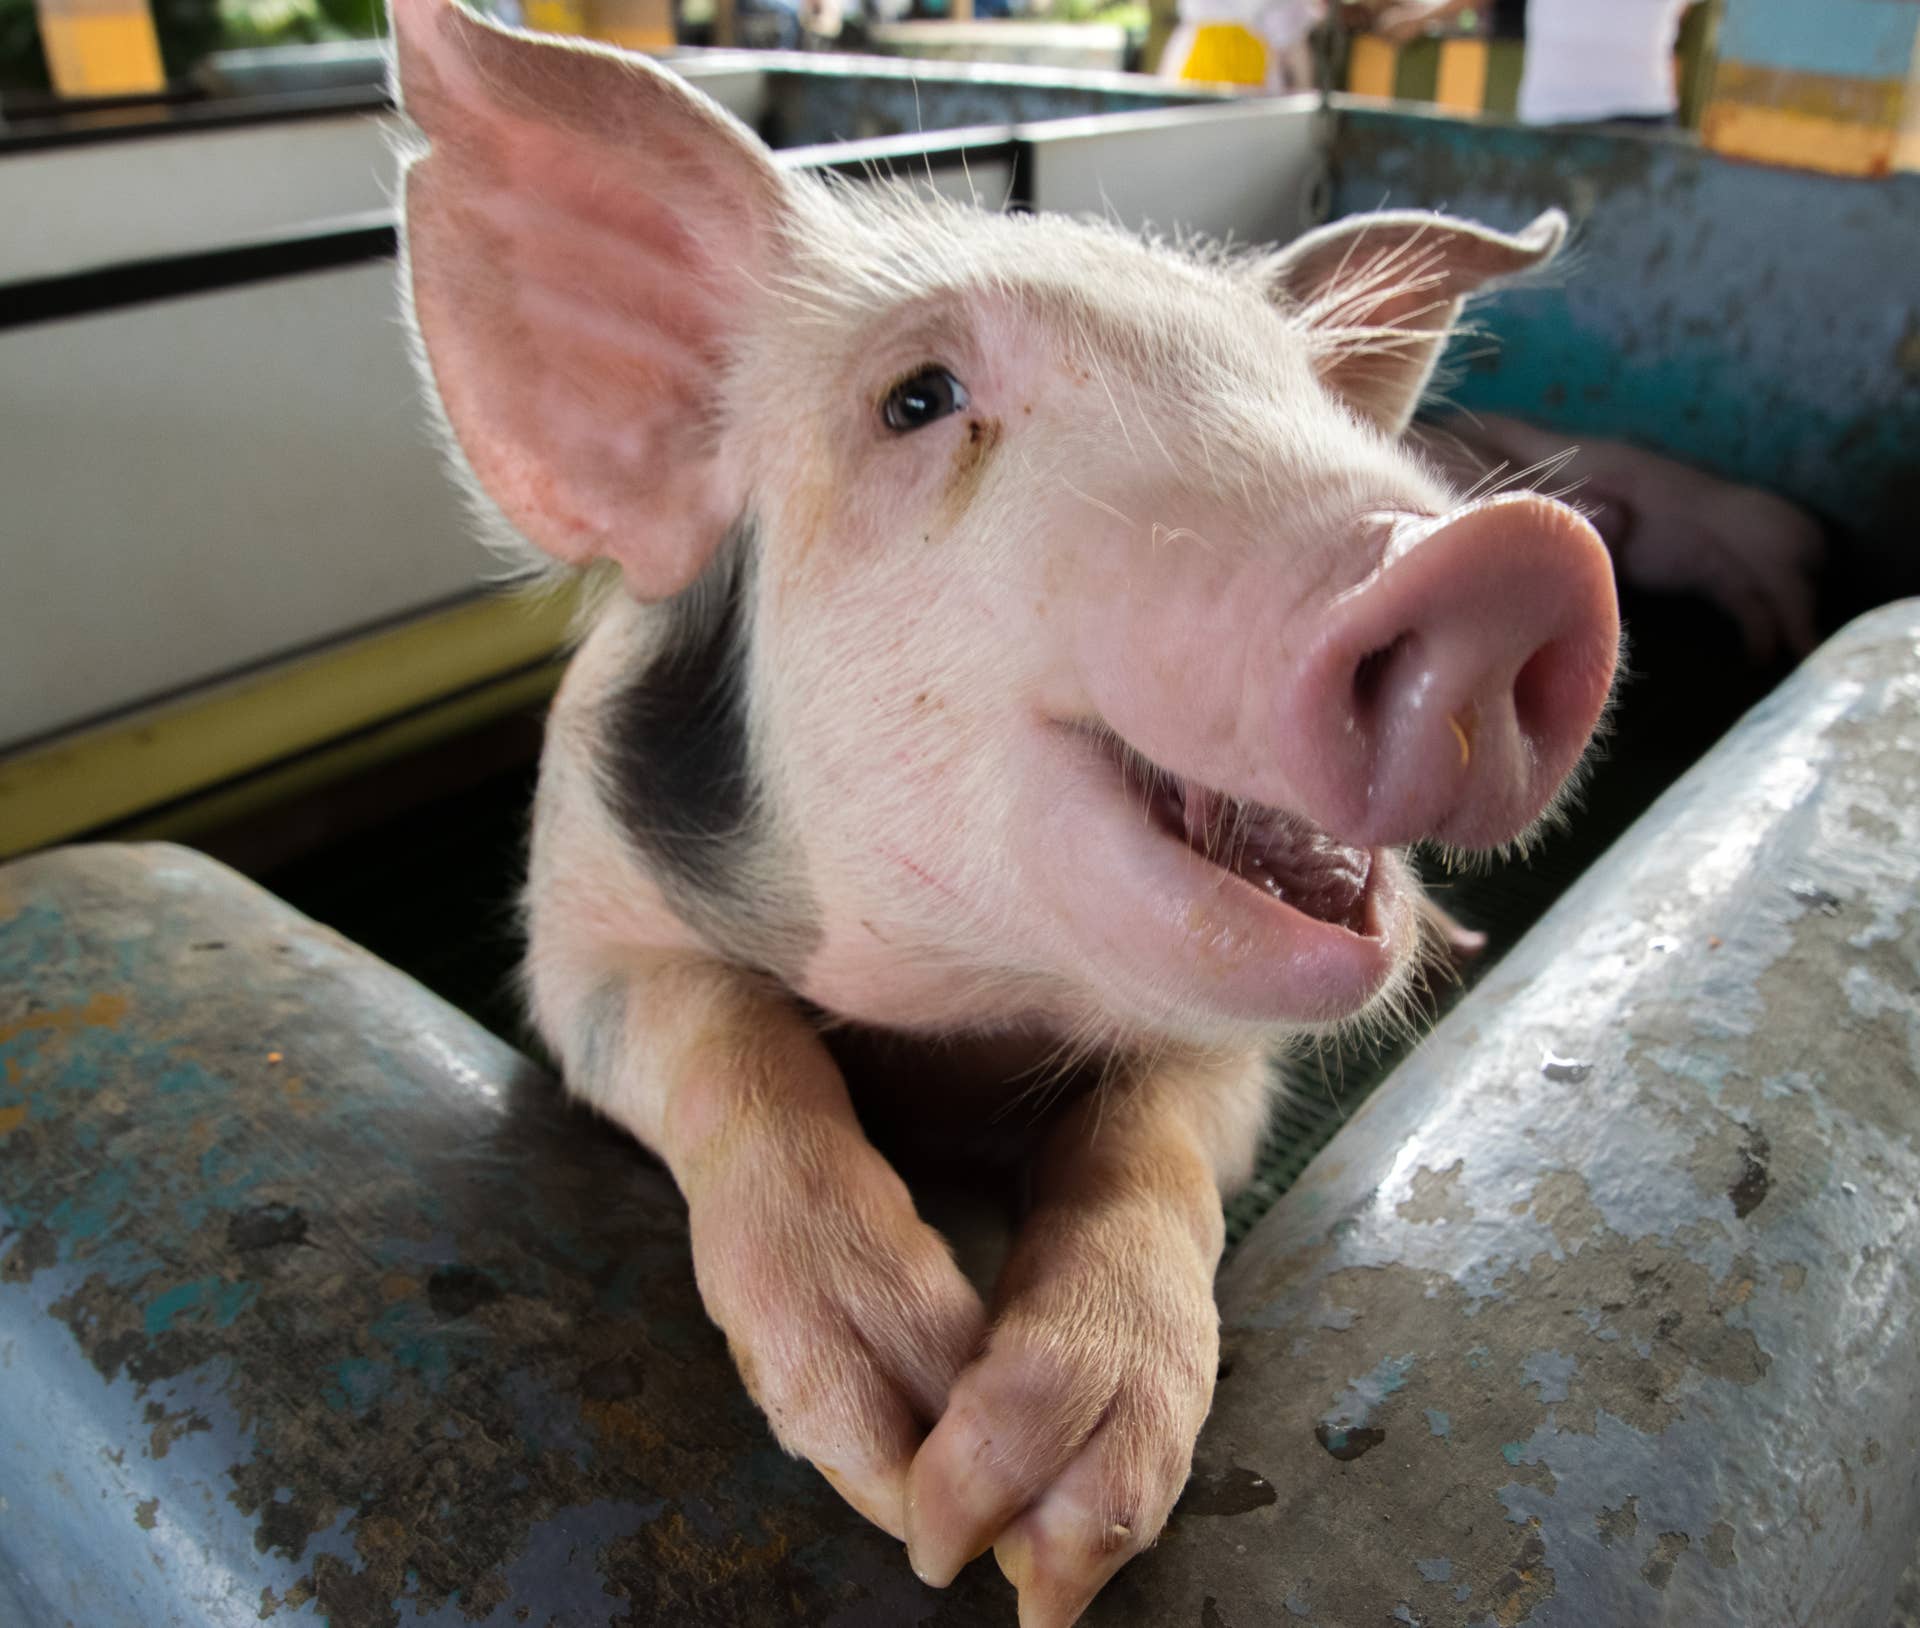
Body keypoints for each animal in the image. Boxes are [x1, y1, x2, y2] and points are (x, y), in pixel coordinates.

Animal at [389, 1, 1619, 1620]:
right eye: (918, 399)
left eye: (1300, 395)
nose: (1510, 554)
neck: (964, 1017)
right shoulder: (577, 923)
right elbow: (714, 1030)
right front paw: (905, 1451)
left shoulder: (1234, 1051)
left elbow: (1153, 1139)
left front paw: (1023, 1527)